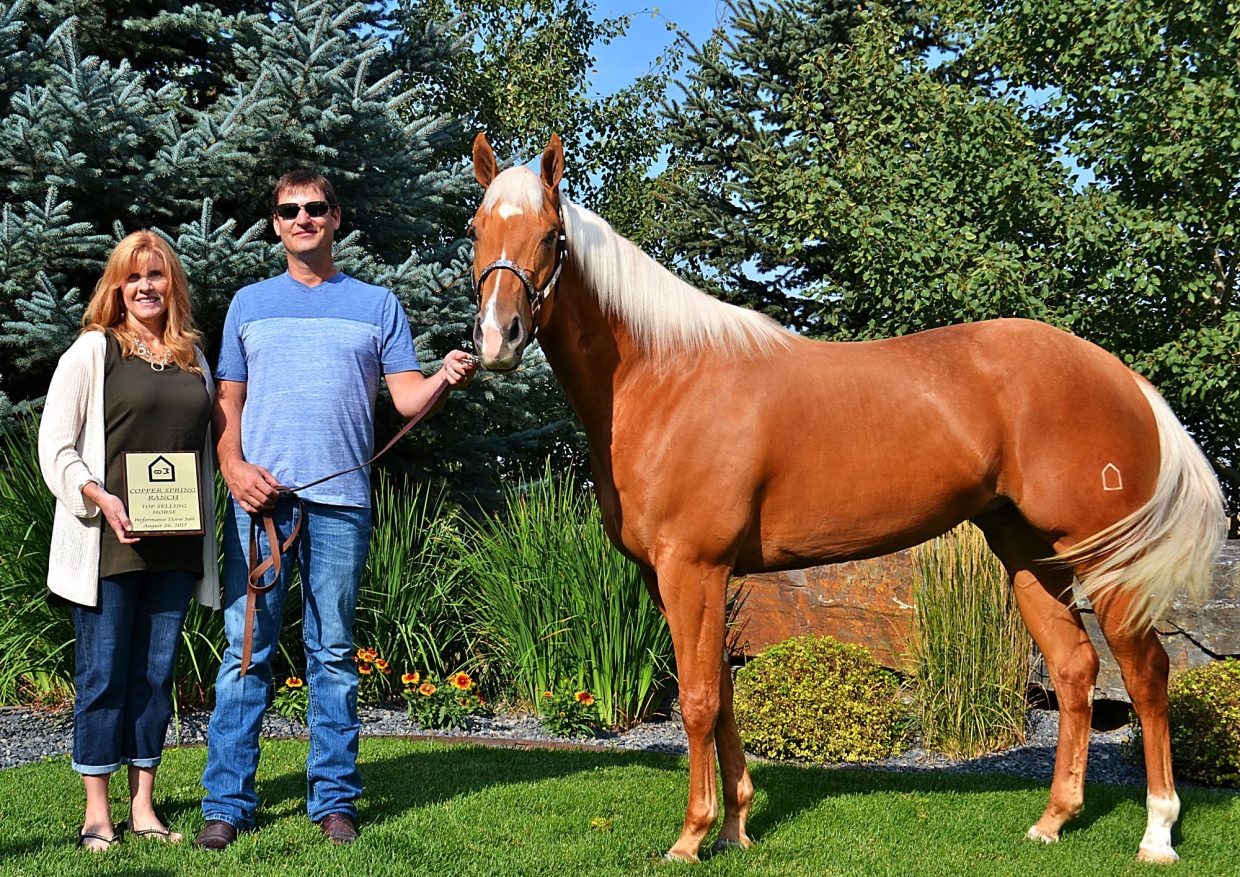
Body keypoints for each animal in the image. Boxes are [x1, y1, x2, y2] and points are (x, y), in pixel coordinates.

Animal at [466, 132, 1225, 864]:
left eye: (550, 235)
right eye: (476, 227)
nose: (497, 337)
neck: (665, 376)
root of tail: (1122, 377)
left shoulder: (693, 569)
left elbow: (699, 699)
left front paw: (692, 835)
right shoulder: (677, 578)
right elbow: (725, 694)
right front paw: (737, 827)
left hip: (1104, 560)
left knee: (1146, 675)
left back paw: (1157, 834)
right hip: (1029, 553)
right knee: (1074, 670)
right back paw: (1052, 822)